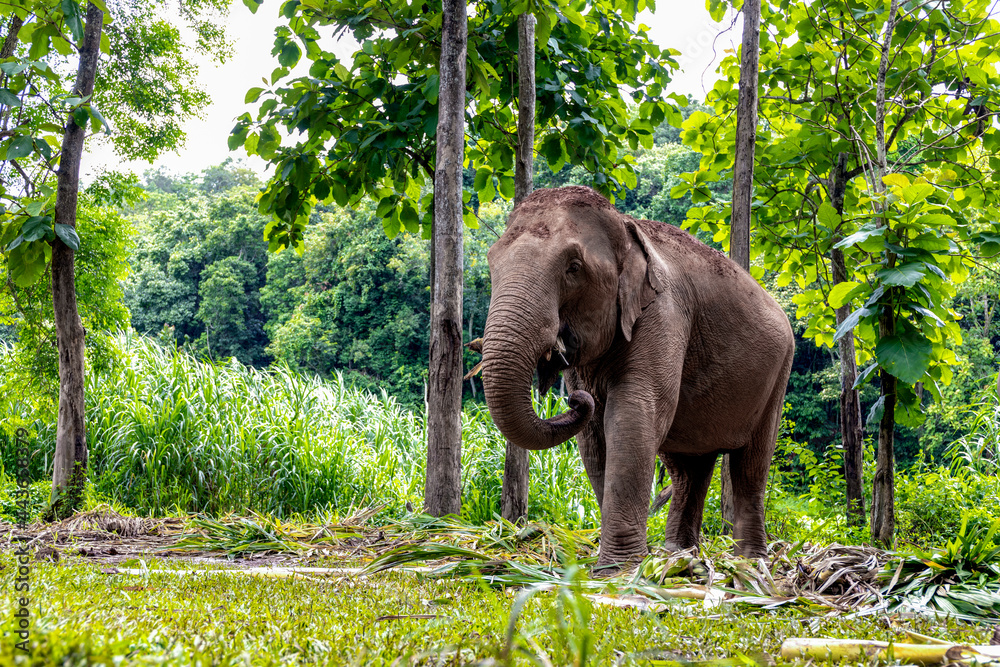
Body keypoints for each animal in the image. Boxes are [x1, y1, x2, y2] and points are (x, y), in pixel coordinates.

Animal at [481, 186, 794, 569]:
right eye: (492, 263)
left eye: (574, 268)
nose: (573, 399)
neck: (626, 227)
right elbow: (594, 435)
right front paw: (623, 565)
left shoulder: (665, 314)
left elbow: (633, 414)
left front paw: (618, 569)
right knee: (688, 468)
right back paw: (679, 557)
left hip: (778, 373)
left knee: (751, 464)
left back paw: (749, 562)